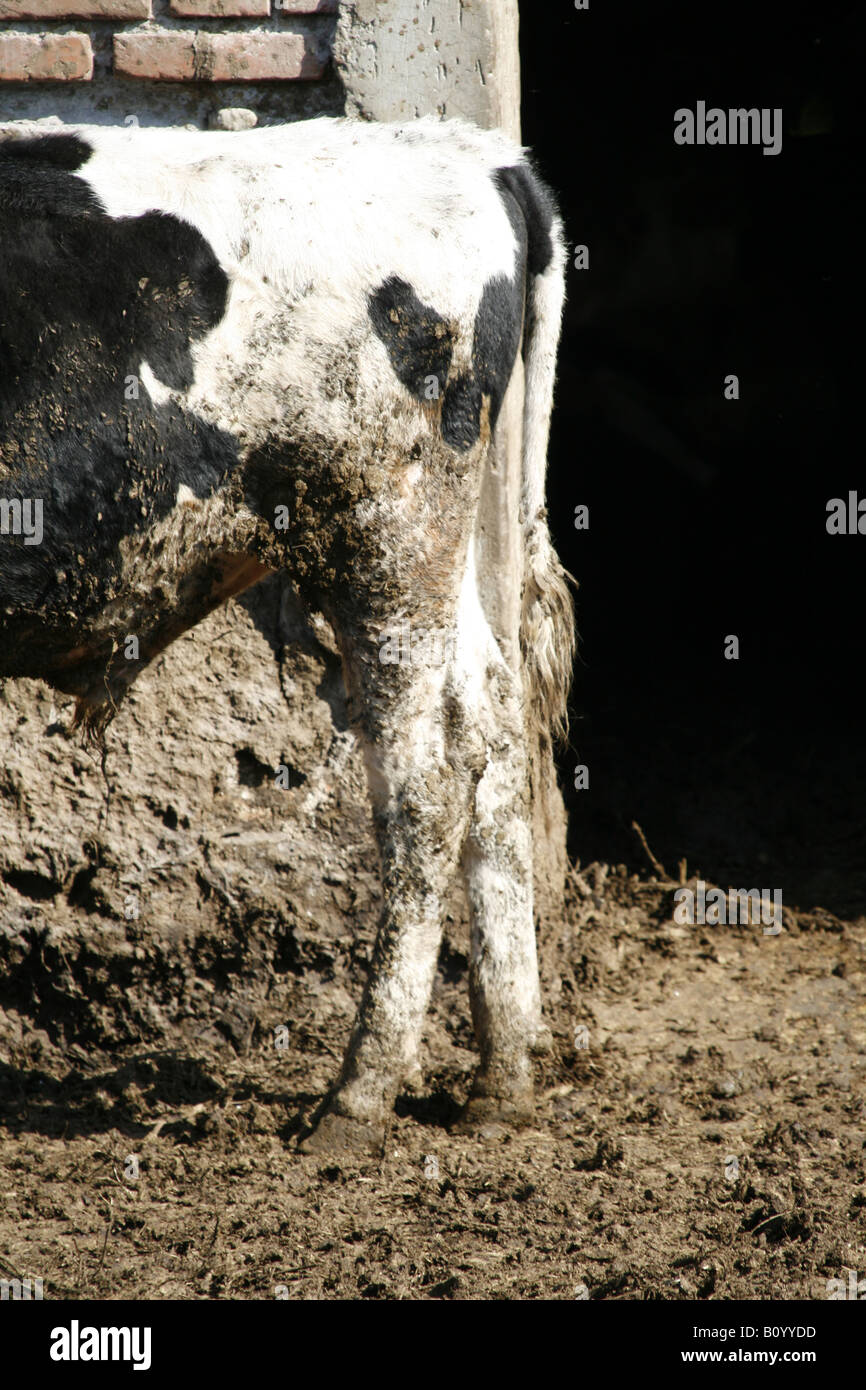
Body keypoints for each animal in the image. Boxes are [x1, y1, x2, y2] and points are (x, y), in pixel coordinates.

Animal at [0, 116, 574, 1152]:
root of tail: (476, 153)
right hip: (434, 556)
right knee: (495, 734)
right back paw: (501, 1079)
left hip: (384, 533)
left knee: (430, 786)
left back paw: (358, 1097)